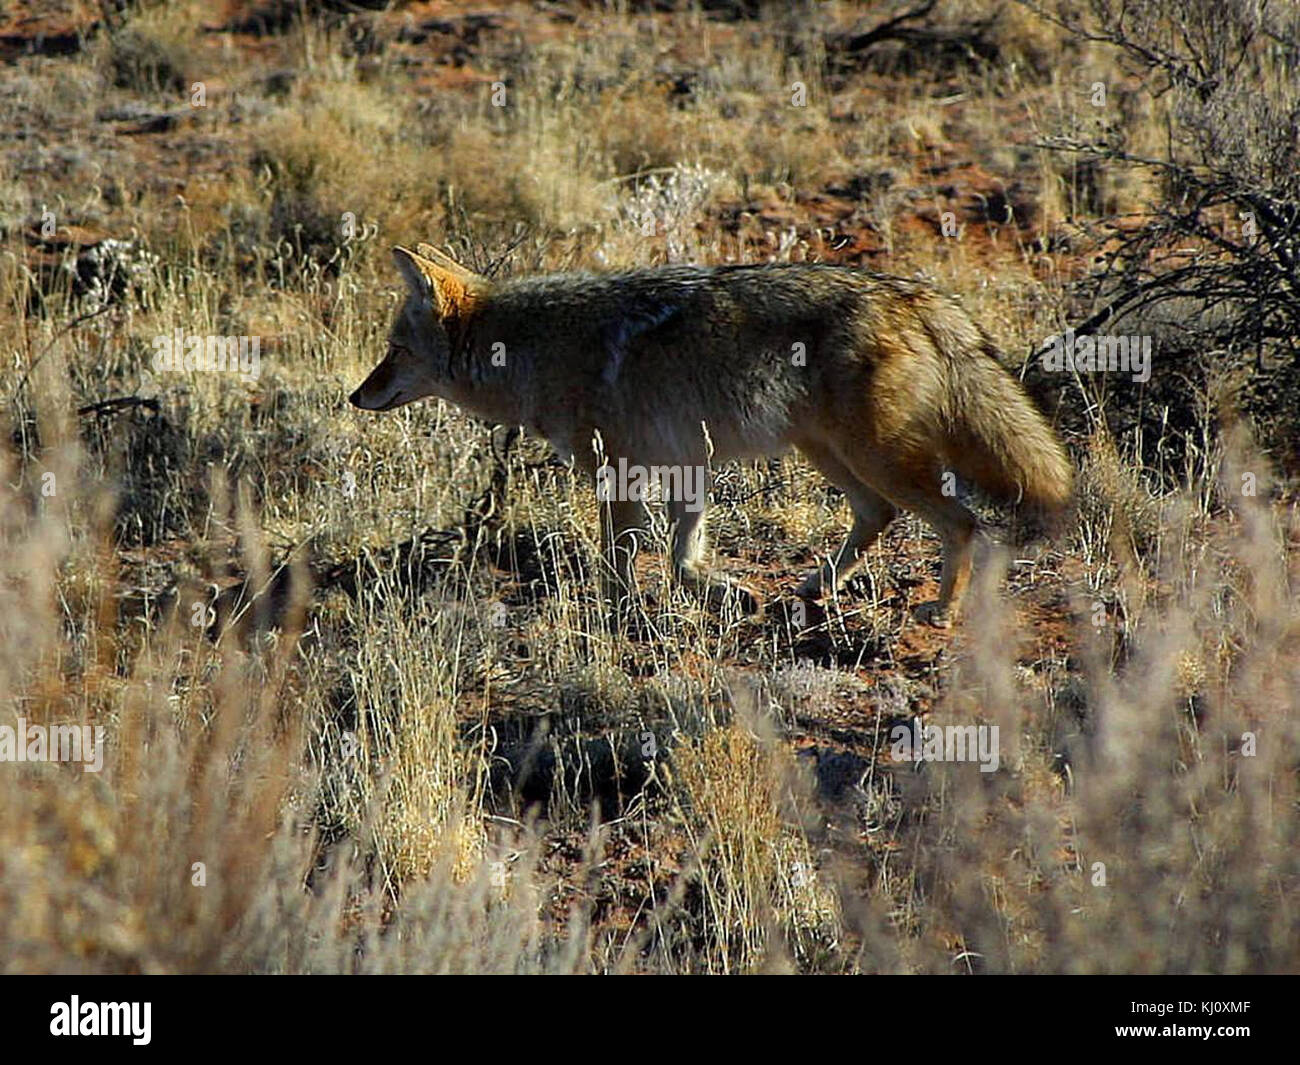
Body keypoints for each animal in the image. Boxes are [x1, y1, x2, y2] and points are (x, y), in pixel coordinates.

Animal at [350, 244, 1073, 625]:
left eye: (394, 350)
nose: (355, 395)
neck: (532, 348)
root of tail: (917, 295)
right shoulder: (684, 464)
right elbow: (679, 554)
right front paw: (721, 590)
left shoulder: (619, 471)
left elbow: (624, 558)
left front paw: (620, 614)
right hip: (829, 453)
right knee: (879, 516)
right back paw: (814, 588)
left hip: (873, 456)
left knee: (962, 523)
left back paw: (940, 610)